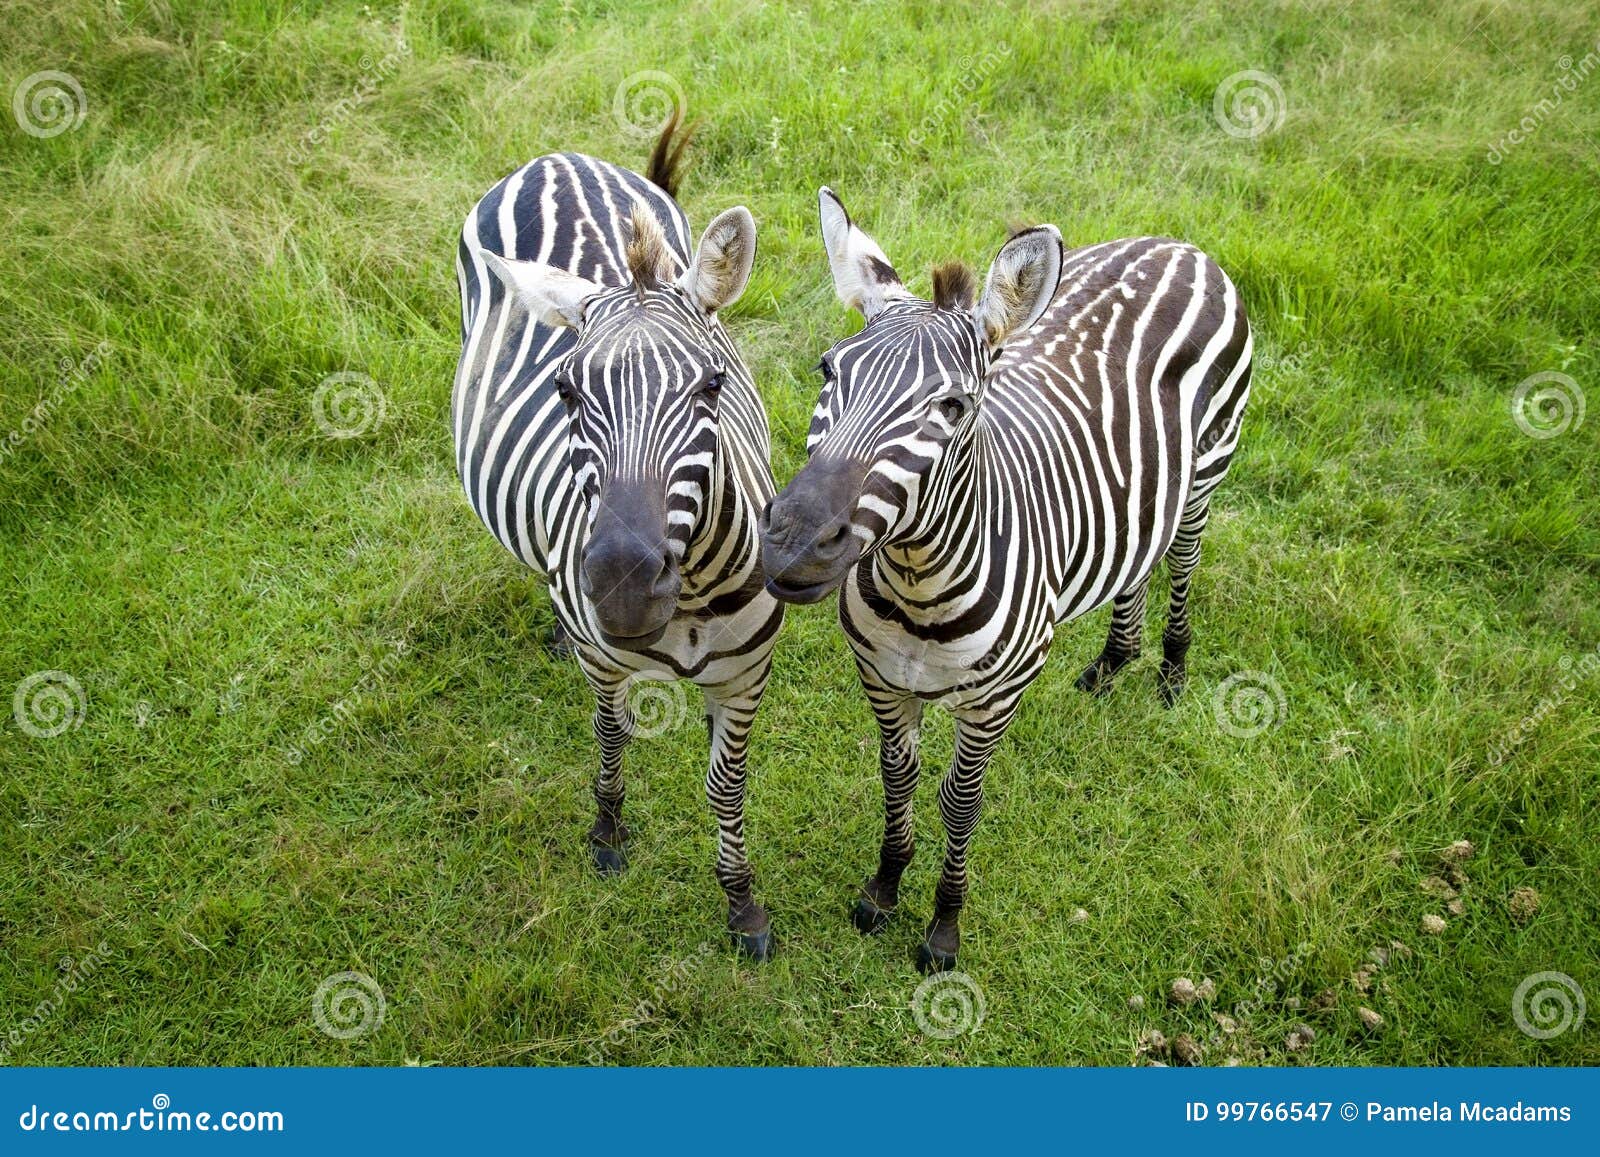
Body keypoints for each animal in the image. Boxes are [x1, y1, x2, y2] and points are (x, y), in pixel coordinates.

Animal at [452, 117, 783, 959]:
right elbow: (612, 731)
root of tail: (559, 159)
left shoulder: (747, 674)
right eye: (566, 391)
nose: (625, 584)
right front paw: (606, 831)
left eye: (712, 384)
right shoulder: (602, 662)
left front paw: (741, 901)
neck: (692, 603)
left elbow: (726, 782)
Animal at [760, 188, 1252, 971]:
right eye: (827, 371)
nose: (792, 544)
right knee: (1139, 554)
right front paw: (883, 889)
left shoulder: (995, 702)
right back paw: (1114, 661)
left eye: (953, 408)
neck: (917, 589)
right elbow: (896, 779)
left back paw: (1172, 667)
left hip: (1208, 465)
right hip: (1152, 479)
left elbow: (960, 803)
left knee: (1181, 558)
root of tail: (1180, 245)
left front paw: (942, 927)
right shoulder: (882, 680)